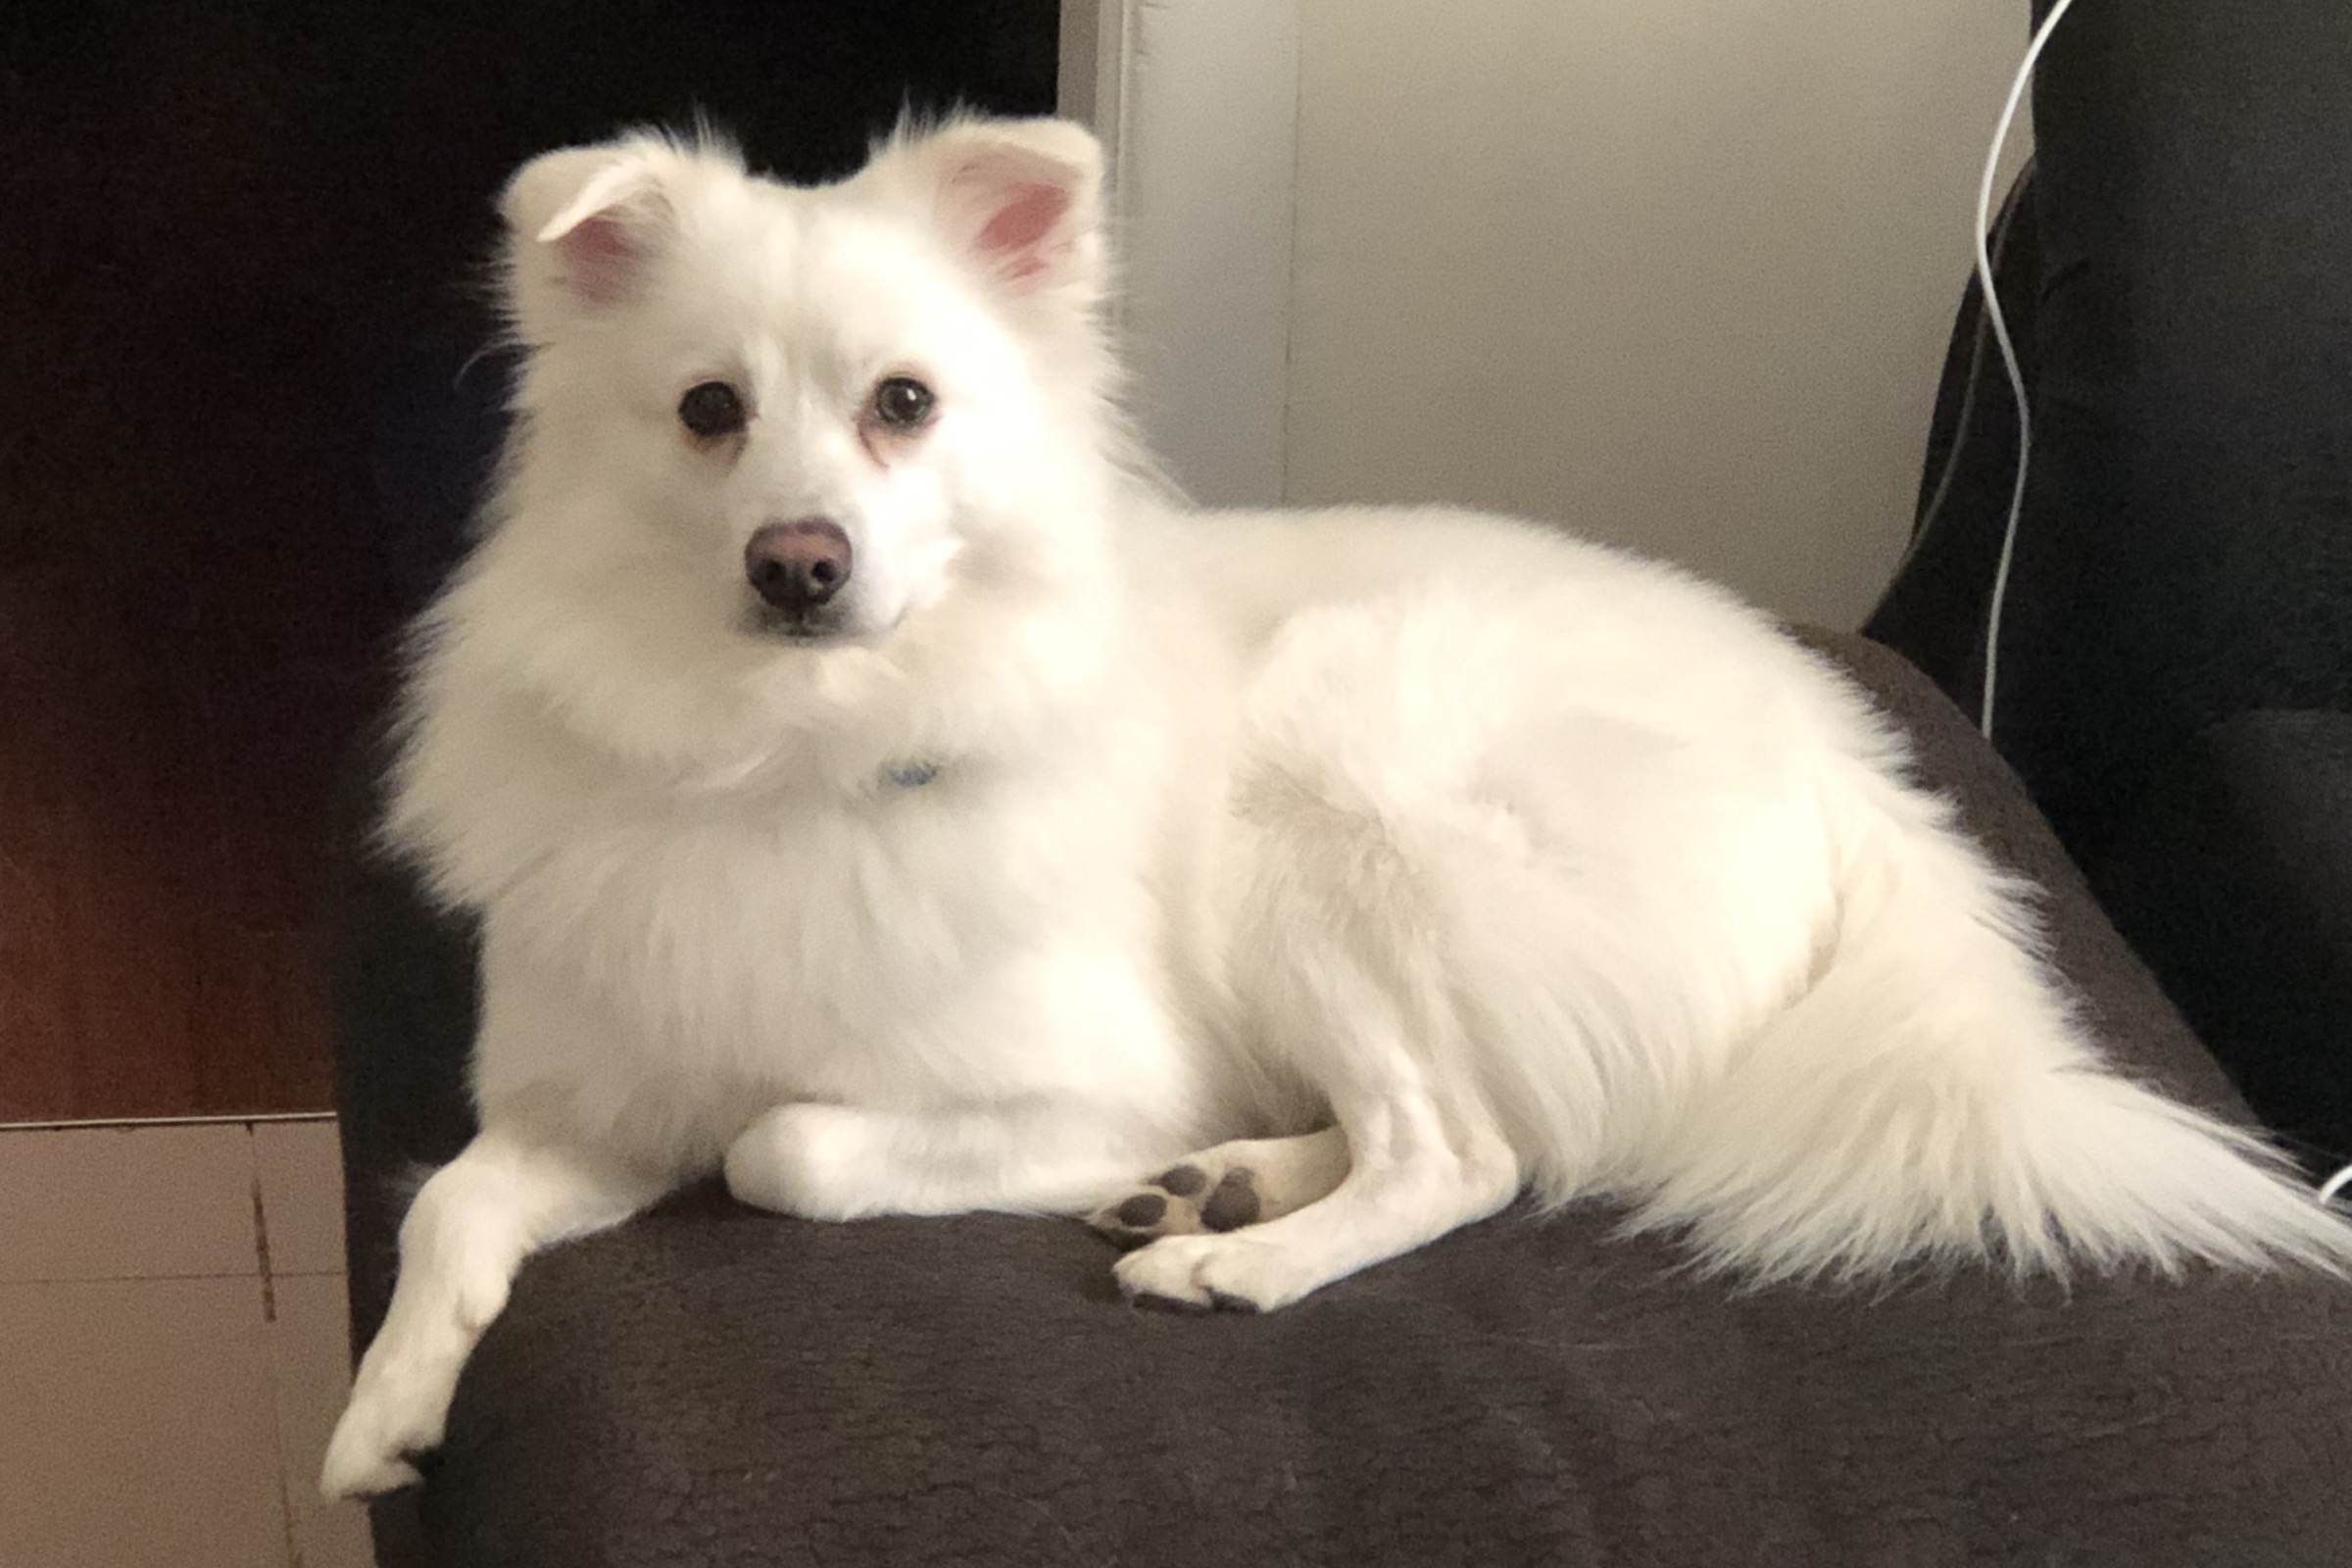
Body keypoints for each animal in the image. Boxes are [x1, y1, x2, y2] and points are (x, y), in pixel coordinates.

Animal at [321, 120, 2342, 1494]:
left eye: (904, 403)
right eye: (707, 413)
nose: (798, 564)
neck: (794, 747)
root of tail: (1864, 778)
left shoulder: (1071, 1065)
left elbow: (790, 1149)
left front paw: (1086, 1172)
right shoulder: (589, 1105)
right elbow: (456, 1209)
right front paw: (385, 1412)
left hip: (1327, 797)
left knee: (1469, 1147)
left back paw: (1235, 1247)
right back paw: (1215, 1189)